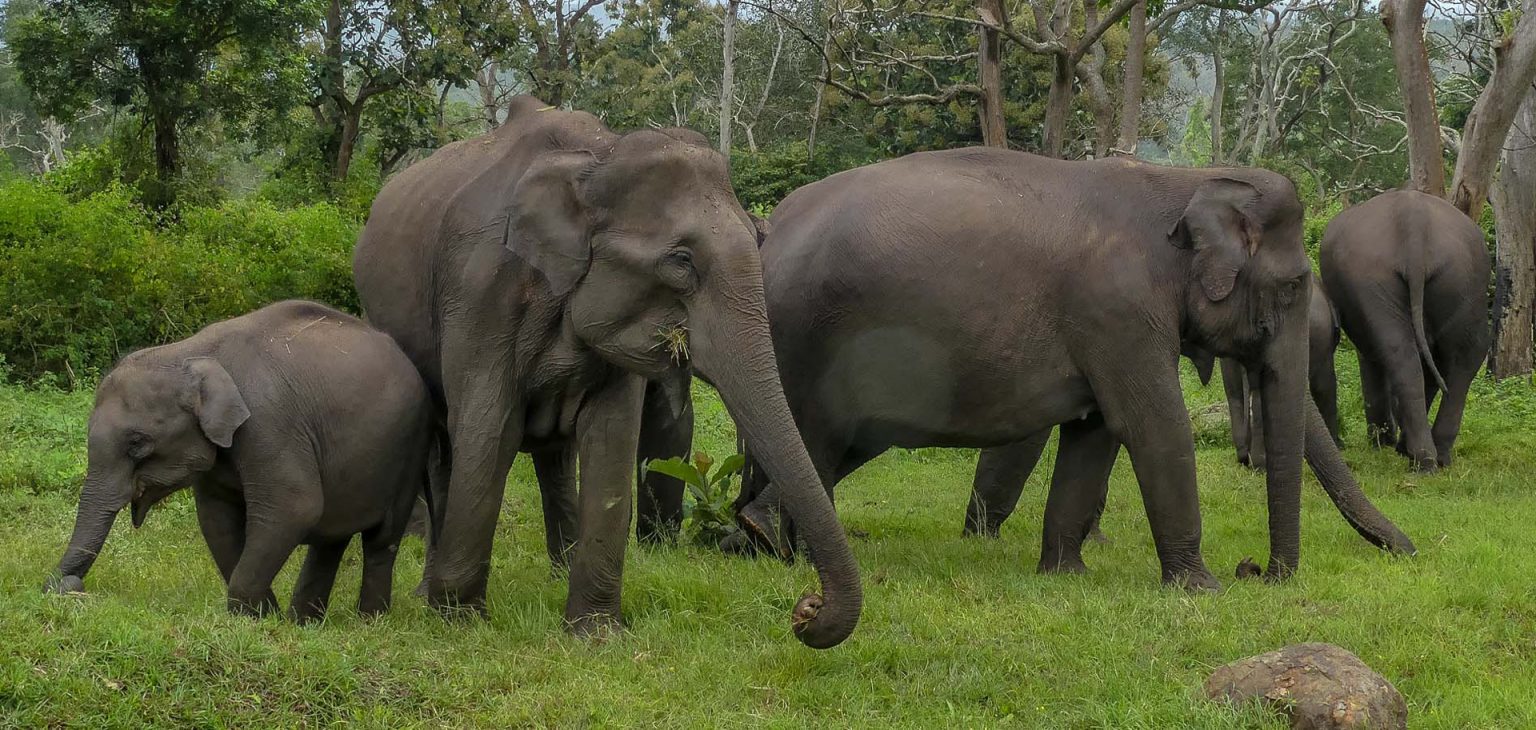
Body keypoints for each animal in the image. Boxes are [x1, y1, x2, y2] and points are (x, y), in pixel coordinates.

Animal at [45, 301, 433, 622]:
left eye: (137, 443)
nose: (69, 585)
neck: (192, 352)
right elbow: (217, 519)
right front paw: (262, 616)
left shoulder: (270, 422)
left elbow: (295, 506)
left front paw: (251, 617)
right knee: (330, 540)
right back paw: (304, 623)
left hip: (411, 444)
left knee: (381, 539)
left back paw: (369, 620)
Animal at [351, 95, 859, 647]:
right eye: (681, 261)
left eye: (757, 237)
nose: (805, 609)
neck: (598, 156)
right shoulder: (479, 293)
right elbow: (490, 430)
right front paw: (460, 622)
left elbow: (611, 438)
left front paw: (595, 636)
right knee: (445, 451)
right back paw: (429, 593)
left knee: (553, 454)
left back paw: (557, 573)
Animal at [1320, 190, 1491, 472]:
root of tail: (1414, 223)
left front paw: (1384, 443)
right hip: (1461, 277)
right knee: (1463, 354)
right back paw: (1435, 458)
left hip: (1379, 277)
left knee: (1401, 354)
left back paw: (1420, 459)